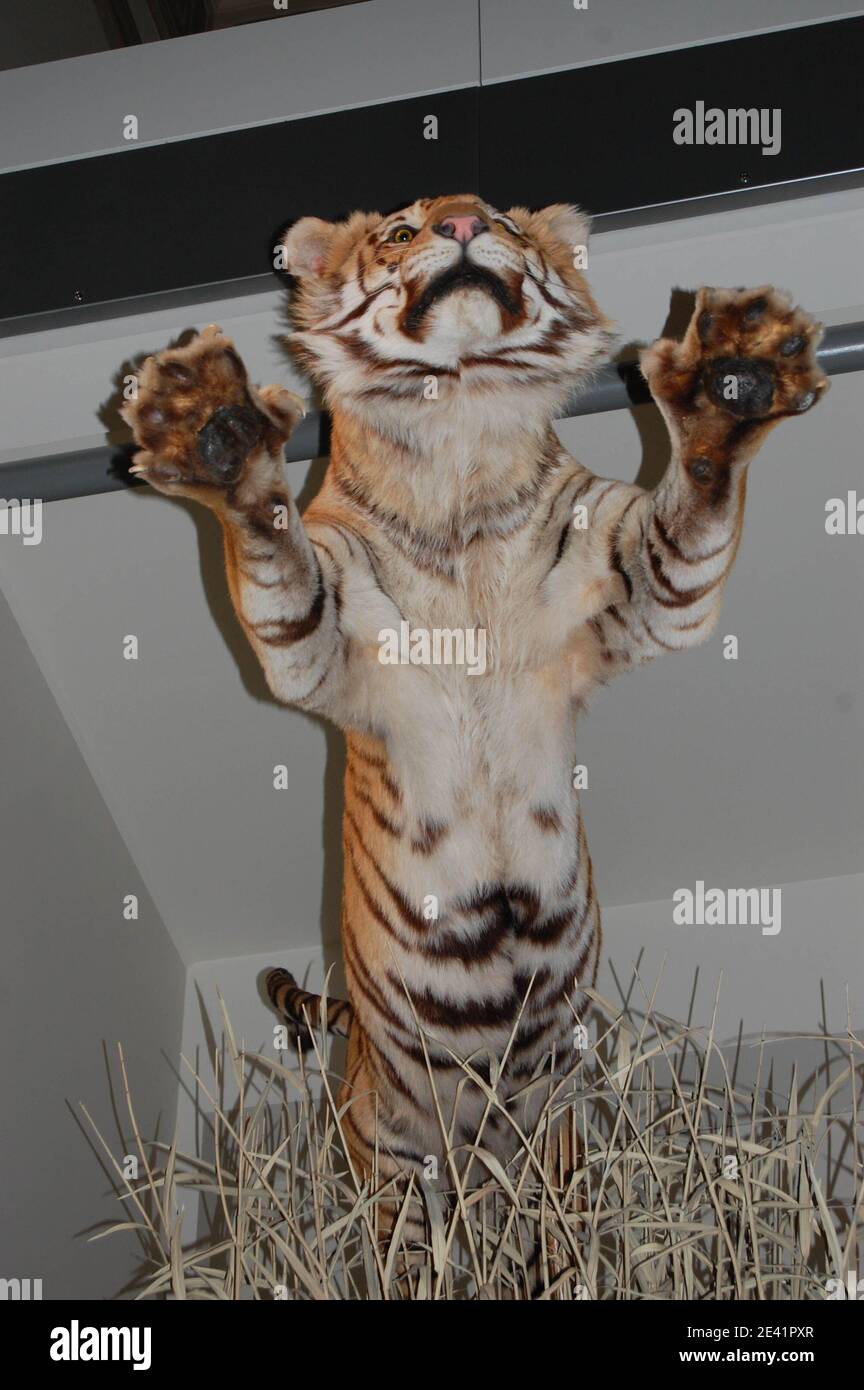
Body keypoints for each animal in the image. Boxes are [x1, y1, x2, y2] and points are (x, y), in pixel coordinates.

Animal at [122, 193, 828, 1241]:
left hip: (553, 1149)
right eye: (400, 231)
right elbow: (273, 545)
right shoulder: (325, 638)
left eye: (499, 216)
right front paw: (210, 421)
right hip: (392, 1164)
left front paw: (732, 377)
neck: (456, 420)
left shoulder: (639, 585)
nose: (460, 221)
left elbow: (693, 499)